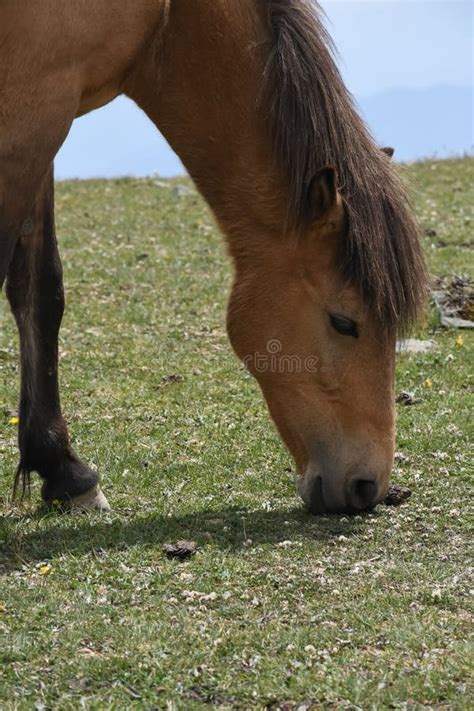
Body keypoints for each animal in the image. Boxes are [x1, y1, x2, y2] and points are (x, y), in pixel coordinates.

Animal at [0, 0, 426, 515]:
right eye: (344, 322)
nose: (369, 487)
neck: (166, 17)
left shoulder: (45, 119)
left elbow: (41, 292)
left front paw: (65, 470)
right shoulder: (35, 104)